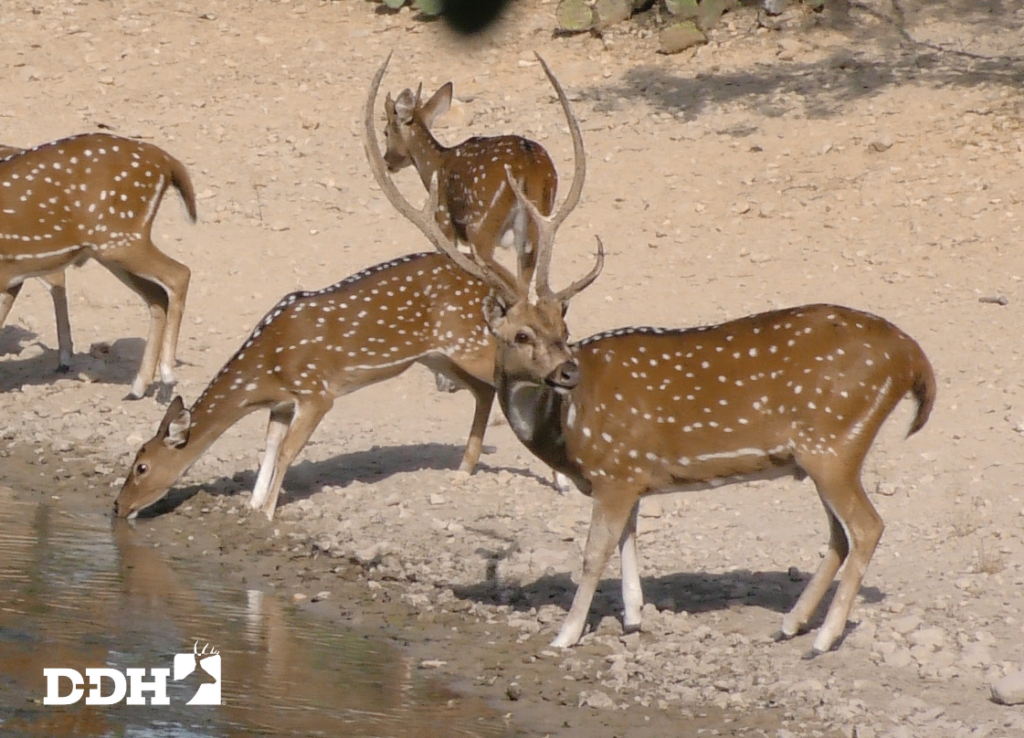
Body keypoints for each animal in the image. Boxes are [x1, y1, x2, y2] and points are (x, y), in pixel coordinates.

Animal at [0, 132, 196, 399]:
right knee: (157, 296)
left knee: (179, 274)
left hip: (120, 238)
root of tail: (166, 161)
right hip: (115, 249)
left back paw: (165, 380)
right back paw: (138, 387)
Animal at [364, 57, 938, 658]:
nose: (567, 371)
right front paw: (634, 615)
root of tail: (914, 360)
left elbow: (593, 551)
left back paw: (822, 638)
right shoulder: (633, 473)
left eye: (562, 326)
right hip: (820, 453)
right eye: (523, 334)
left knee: (868, 527)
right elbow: (630, 542)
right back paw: (790, 623)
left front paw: (565, 634)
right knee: (839, 535)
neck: (568, 433)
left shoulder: (615, 470)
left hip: (834, 443)